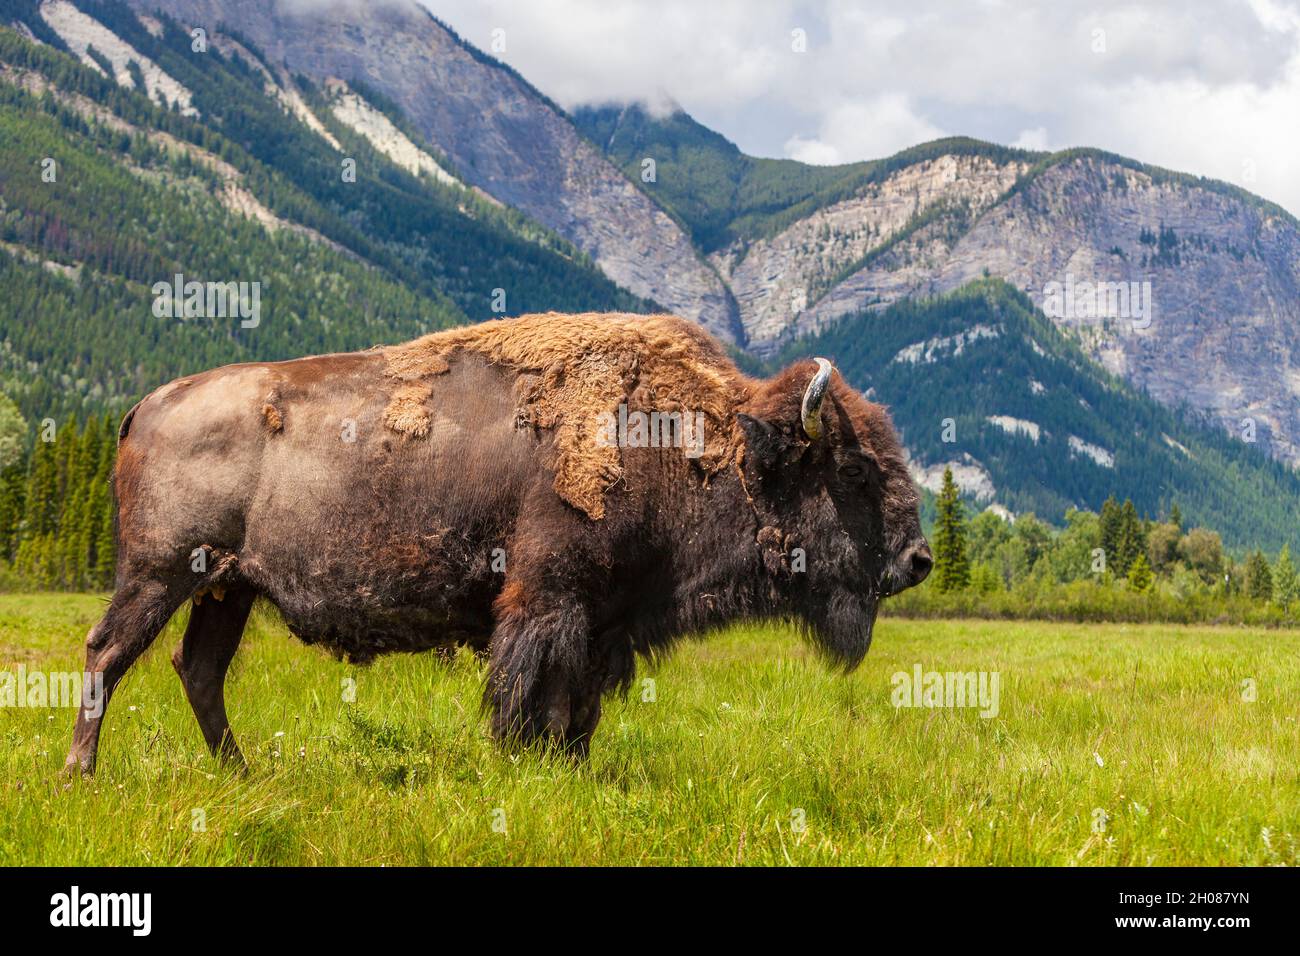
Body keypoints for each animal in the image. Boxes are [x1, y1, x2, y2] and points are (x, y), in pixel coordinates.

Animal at [65, 312, 930, 773]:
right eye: (853, 468)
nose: (918, 559)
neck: (693, 446)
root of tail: (144, 406)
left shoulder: (603, 625)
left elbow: (580, 709)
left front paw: (571, 773)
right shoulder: (548, 602)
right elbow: (532, 695)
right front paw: (521, 767)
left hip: (228, 587)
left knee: (198, 669)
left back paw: (241, 775)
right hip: (160, 574)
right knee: (109, 654)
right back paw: (82, 776)